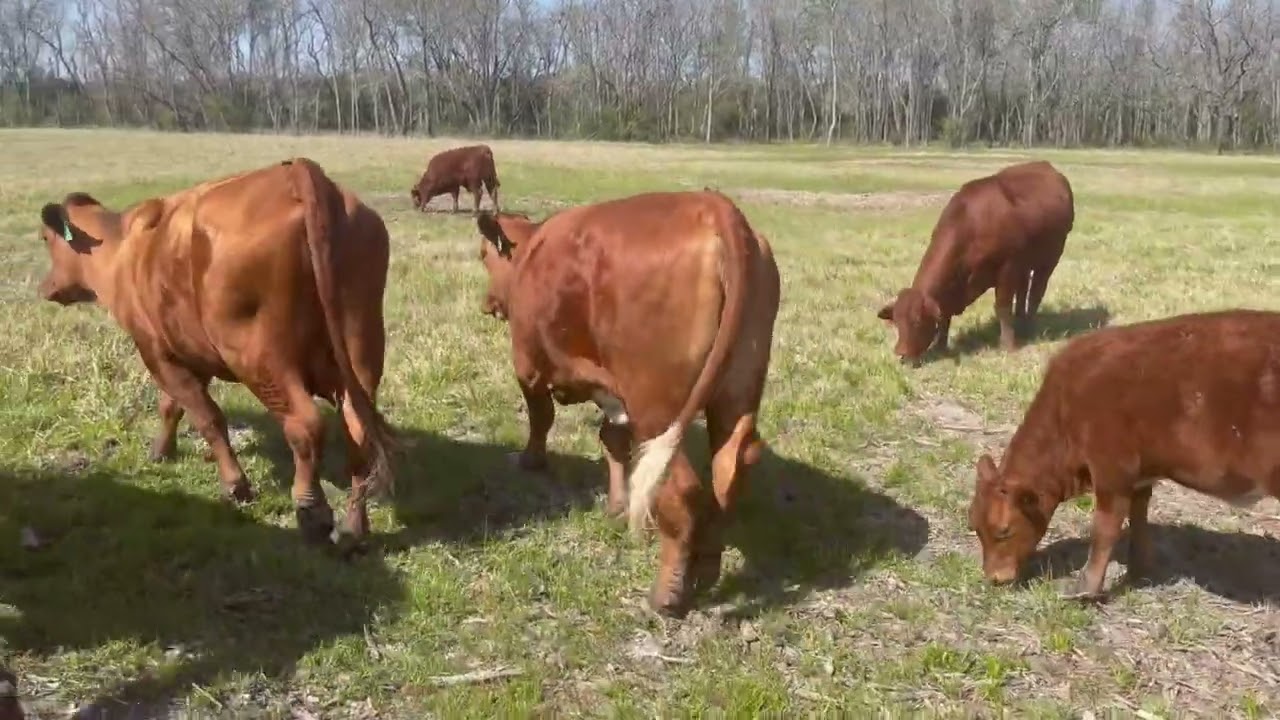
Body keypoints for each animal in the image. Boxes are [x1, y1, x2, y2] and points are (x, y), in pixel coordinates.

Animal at [34, 157, 396, 551]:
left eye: (46, 239)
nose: (45, 287)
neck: (122, 249)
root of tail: (295, 172)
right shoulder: (189, 351)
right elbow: (173, 406)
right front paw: (162, 451)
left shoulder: (155, 350)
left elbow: (206, 416)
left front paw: (235, 485)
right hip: (361, 350)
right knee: (357, 431)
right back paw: (354, 528)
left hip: (260, 359)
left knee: (305, 425)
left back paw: (311, 511)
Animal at [474, 190, 781, 616]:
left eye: (483, 255)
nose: (487, 304)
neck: (532, 253)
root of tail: (712, 206)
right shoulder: (614, 394)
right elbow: (613, 440)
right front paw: (617, 506)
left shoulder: (529, 366)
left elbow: (541, 418)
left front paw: (531, 460)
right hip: (736, 391)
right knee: (729, 468)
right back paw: (705, 570)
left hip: (655, 404)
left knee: (681, 487)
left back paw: (667, 594)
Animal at [877, 160, 1074, 363]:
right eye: (896, 321)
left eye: (917, 321)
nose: (901, 353)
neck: (971, 223)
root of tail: (1047, 166)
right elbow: (945, 315)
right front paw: (941, 346)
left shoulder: (1008, 268)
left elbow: (1002, 307)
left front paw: (1007, 344)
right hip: (1025, 265)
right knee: (1023, 292)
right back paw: (1021, 324)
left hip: (1049, 259)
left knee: (1035, 293)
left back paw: (1028, 327)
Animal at [968, 309, 1280, 599]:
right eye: (975, 527)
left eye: (1004, 530)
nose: (994, 577)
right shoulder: (1140, 475)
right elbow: (1138, 516)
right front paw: (1138, 569)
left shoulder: (1111, 469)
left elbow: (1105, 529)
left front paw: (1086, 589)